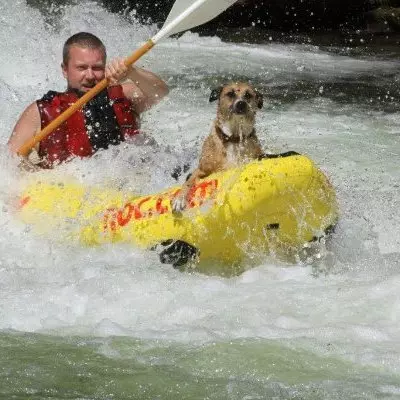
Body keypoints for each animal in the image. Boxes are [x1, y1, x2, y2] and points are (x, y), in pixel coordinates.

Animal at [171, 81, 262, 212]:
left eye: (248, 95)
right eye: (230, 94)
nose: (241, 103)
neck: (234, 139)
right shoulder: (200, 170)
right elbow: (189, 182)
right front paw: (179, 199)